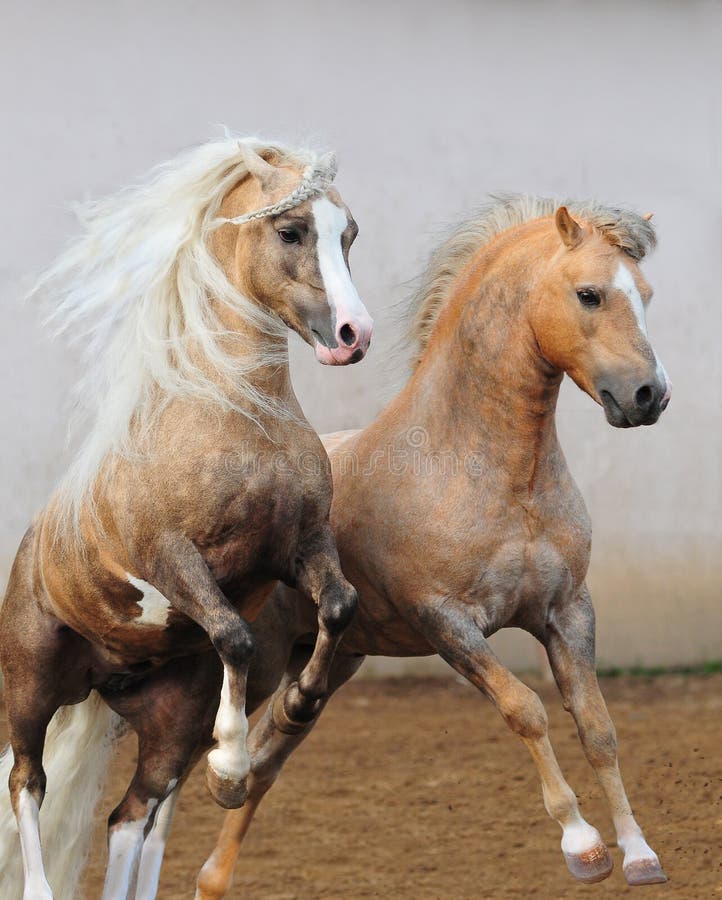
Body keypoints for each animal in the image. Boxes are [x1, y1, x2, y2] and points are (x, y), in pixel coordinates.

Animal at [0, 134, 374, 900]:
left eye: (348, 235)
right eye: (291, 231)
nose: (355, 335)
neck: (238, 420)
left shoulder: (304, 544)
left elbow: (340, 605)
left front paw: (296, 707)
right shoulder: (173, 560)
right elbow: (233, 634)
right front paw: (231, 765)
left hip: (165, 717)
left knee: (128, 814)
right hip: (31, 681)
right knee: (28, 782)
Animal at [190, 195, 672, 898]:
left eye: (646, 293)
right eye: (588, 294)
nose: (649, 396)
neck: (488, 471)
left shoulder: (567, 613)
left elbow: (598, 726)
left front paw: (637, 853)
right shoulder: (445, 621)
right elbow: (525, 709)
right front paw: (582, 846)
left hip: (330, 662)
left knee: (266, 759)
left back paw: (213, 875)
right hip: (258, 659)